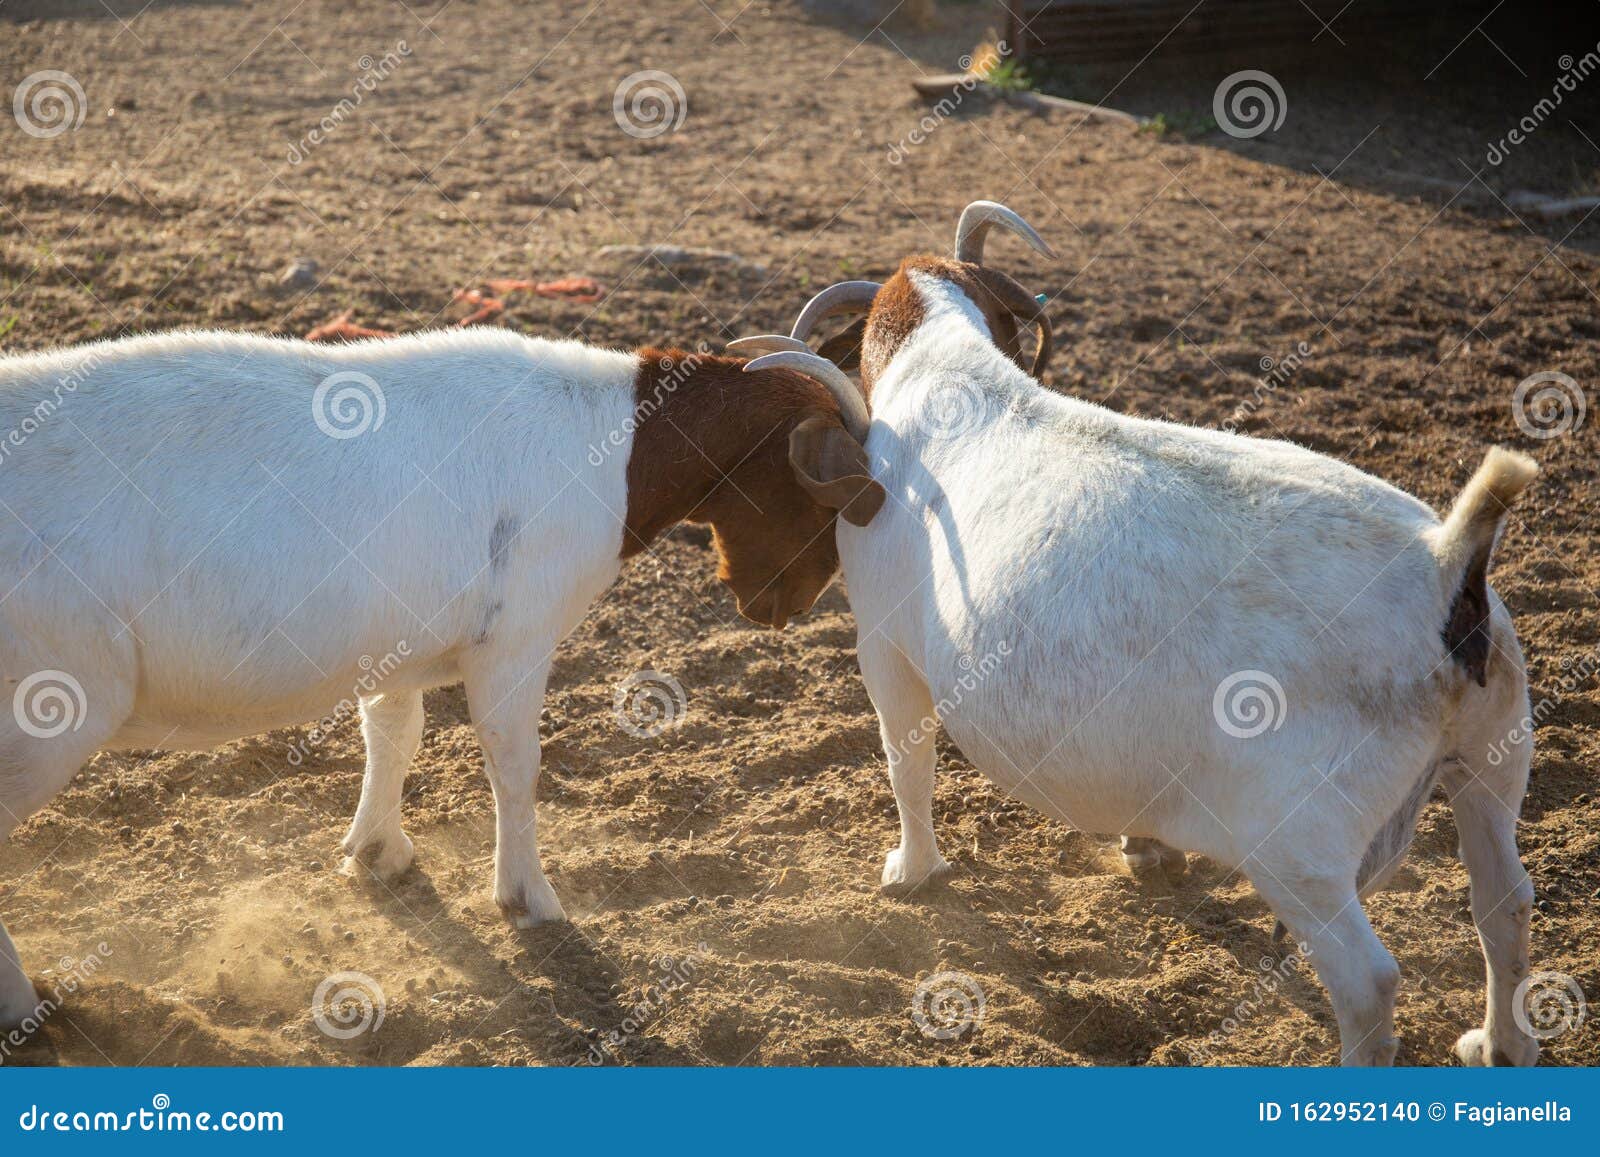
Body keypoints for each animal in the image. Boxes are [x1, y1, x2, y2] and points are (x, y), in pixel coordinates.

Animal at [0, 326, 883, 1026]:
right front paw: (529, 899)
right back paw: (21, 1003)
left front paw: (377, 851)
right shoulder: (516, 636)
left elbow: (396, 733)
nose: (782, 609)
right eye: (820, 499)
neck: (615, 451)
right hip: (48, 706)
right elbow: (516, 763)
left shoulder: (397, 645)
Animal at [739, 202, 1543, 1066]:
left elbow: (906, 762)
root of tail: (1446, 565)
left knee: (1369, 981)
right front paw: (1147, 849)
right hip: (1494, 754)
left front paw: (910, 870)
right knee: (1505, 901)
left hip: (1300, 842)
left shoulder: (884, 647)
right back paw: (1498, 1045)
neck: (951, 371)